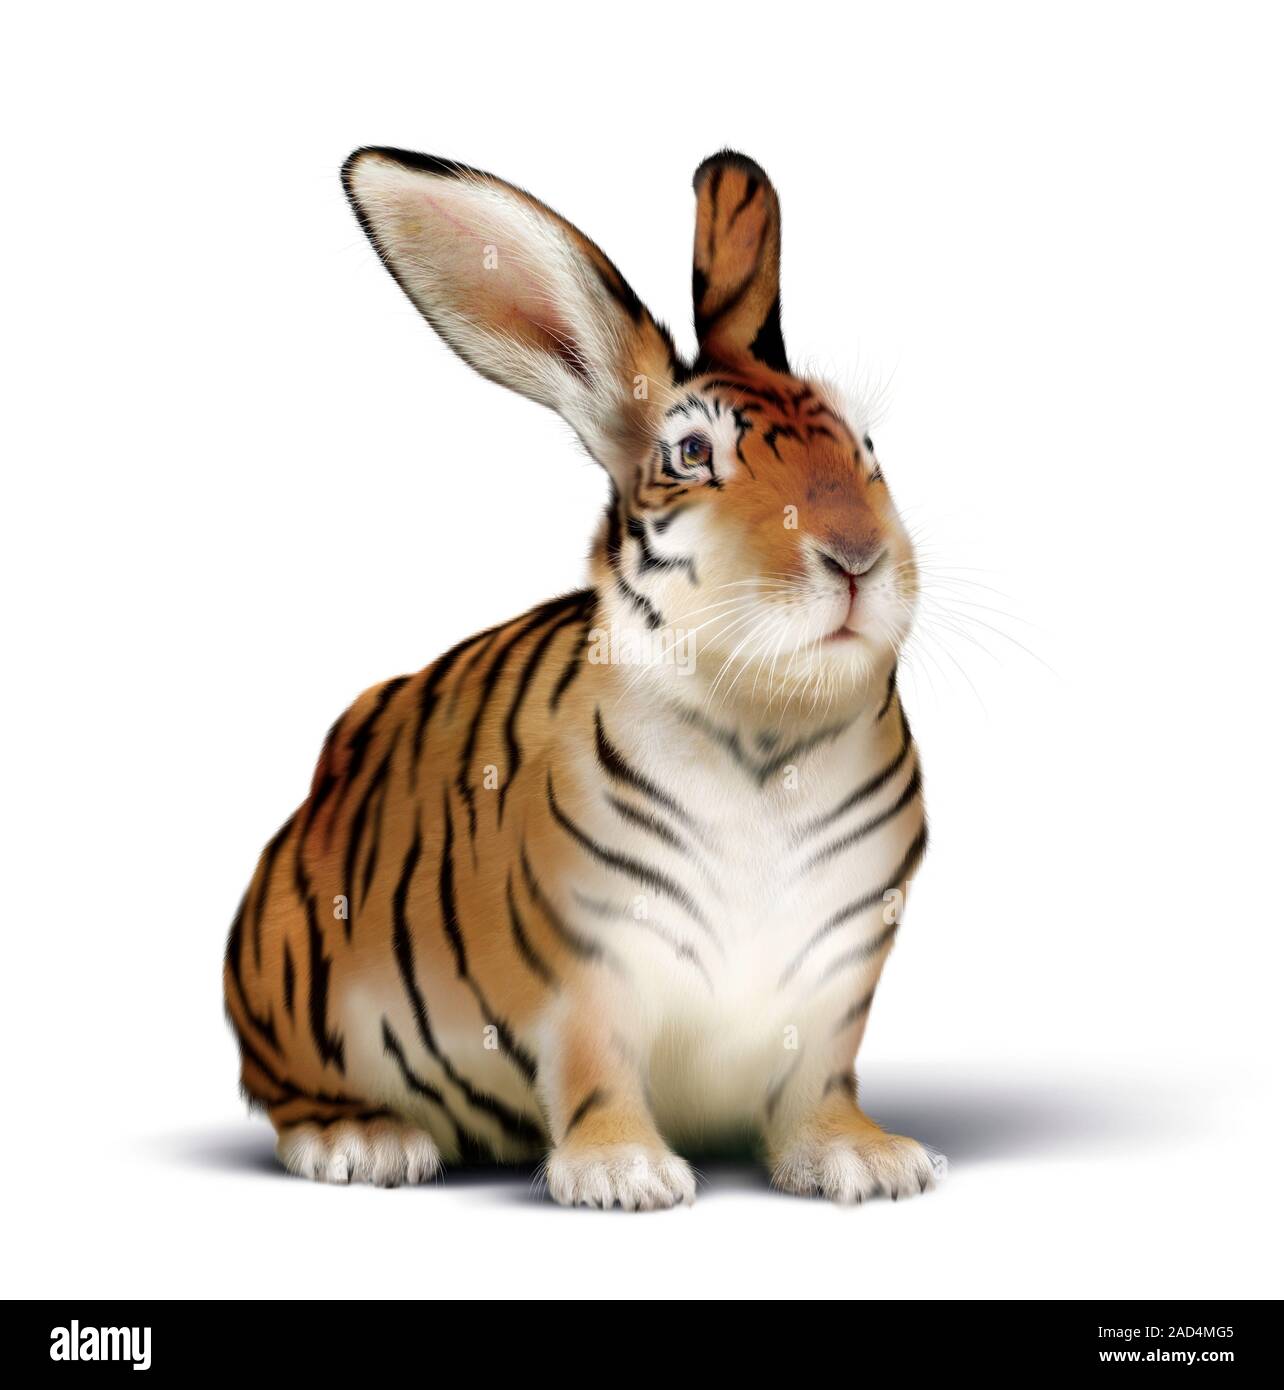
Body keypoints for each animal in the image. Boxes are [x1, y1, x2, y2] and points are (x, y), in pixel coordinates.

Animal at [223, 146, 939, 1209]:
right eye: (692, 453)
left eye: (868, 449)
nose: (856, 558)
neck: (768, 733)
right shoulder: (580, 961)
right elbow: (595, 1060)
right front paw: (621, 1174)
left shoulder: (840, 968)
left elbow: (821, 1071)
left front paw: (862, 1157)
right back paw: (364, 1142)